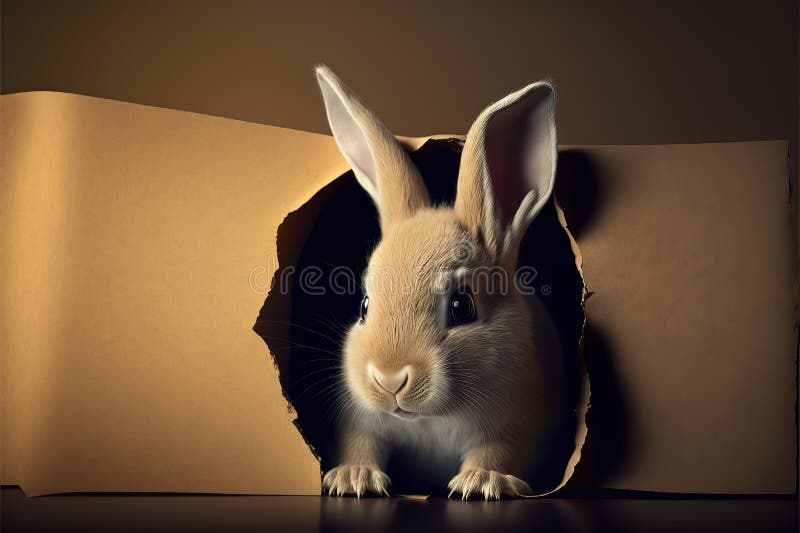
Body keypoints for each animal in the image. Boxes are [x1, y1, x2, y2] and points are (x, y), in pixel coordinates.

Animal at [315, 65, 563, 500]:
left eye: (462, 306)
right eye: (364, 306)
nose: (389, 379)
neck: (427, 418)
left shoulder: (515, 424)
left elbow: (497, 452)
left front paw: (481, 483)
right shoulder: (361, 419)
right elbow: (360, 442)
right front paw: (353, 478)